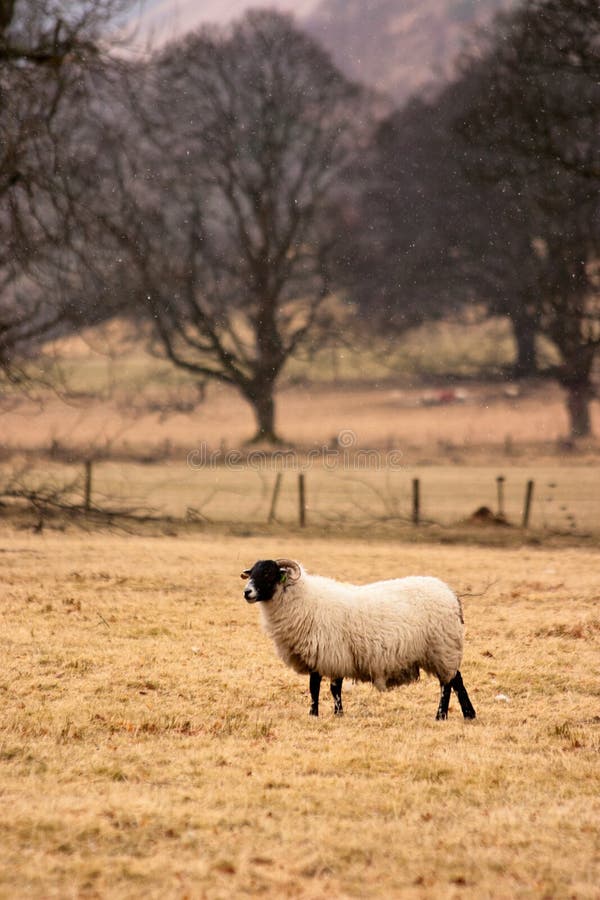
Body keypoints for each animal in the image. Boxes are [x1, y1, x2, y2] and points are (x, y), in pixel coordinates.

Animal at [240, 558, 476, 720]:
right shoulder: (317, 655)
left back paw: (442, 716)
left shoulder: (334, 653)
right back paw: (468, 714)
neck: (304, 600)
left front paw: (335, 714)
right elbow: (314, 687)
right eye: (252, 573)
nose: (247, 592)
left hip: (443, 647)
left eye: (268, 573)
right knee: (455, 681)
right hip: (443, 649)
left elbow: (332, 688)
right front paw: (315, 713)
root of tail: (451, 594)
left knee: (449, 683)